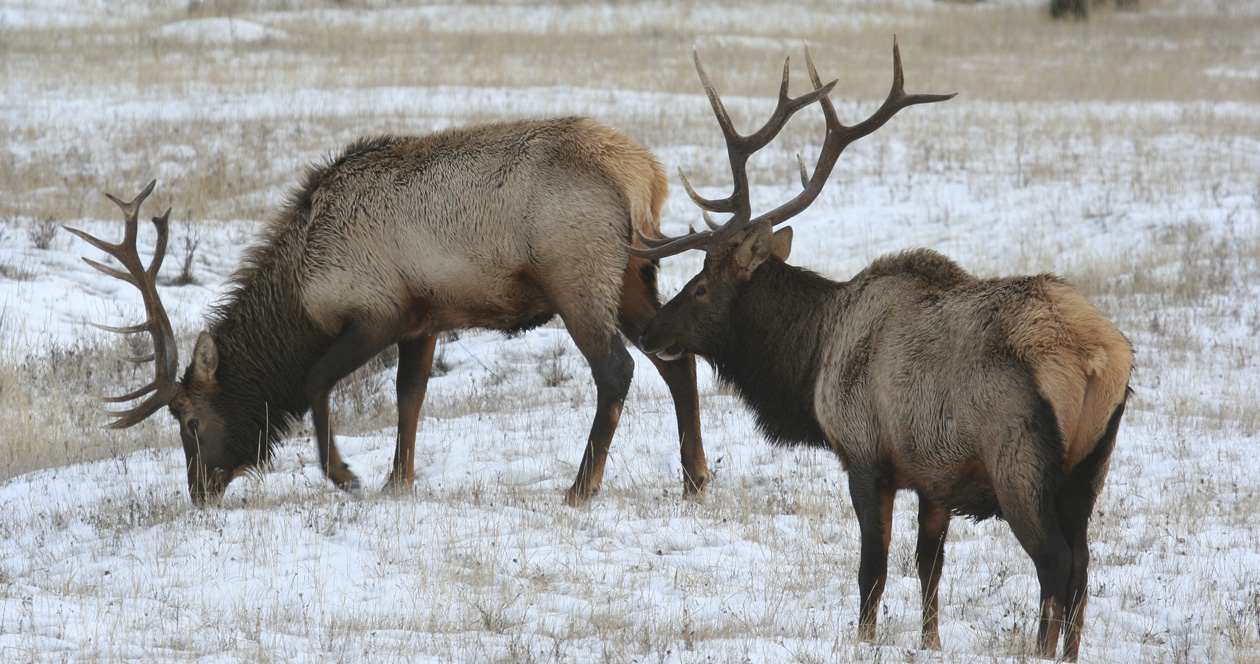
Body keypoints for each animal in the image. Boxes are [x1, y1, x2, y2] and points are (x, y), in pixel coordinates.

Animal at [632, 38, 1132, 662]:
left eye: (700, 286)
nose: (650, 333)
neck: (812, 359)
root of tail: (1099, 358)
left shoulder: (866, 453)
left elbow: (872, 566)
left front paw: (864, 638)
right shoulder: (935, 475)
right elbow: (928, 565)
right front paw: (930, 640)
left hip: (1020, 458)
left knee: (1056, 564)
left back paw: (1040, 650)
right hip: (1090, 467)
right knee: (1084, 564)